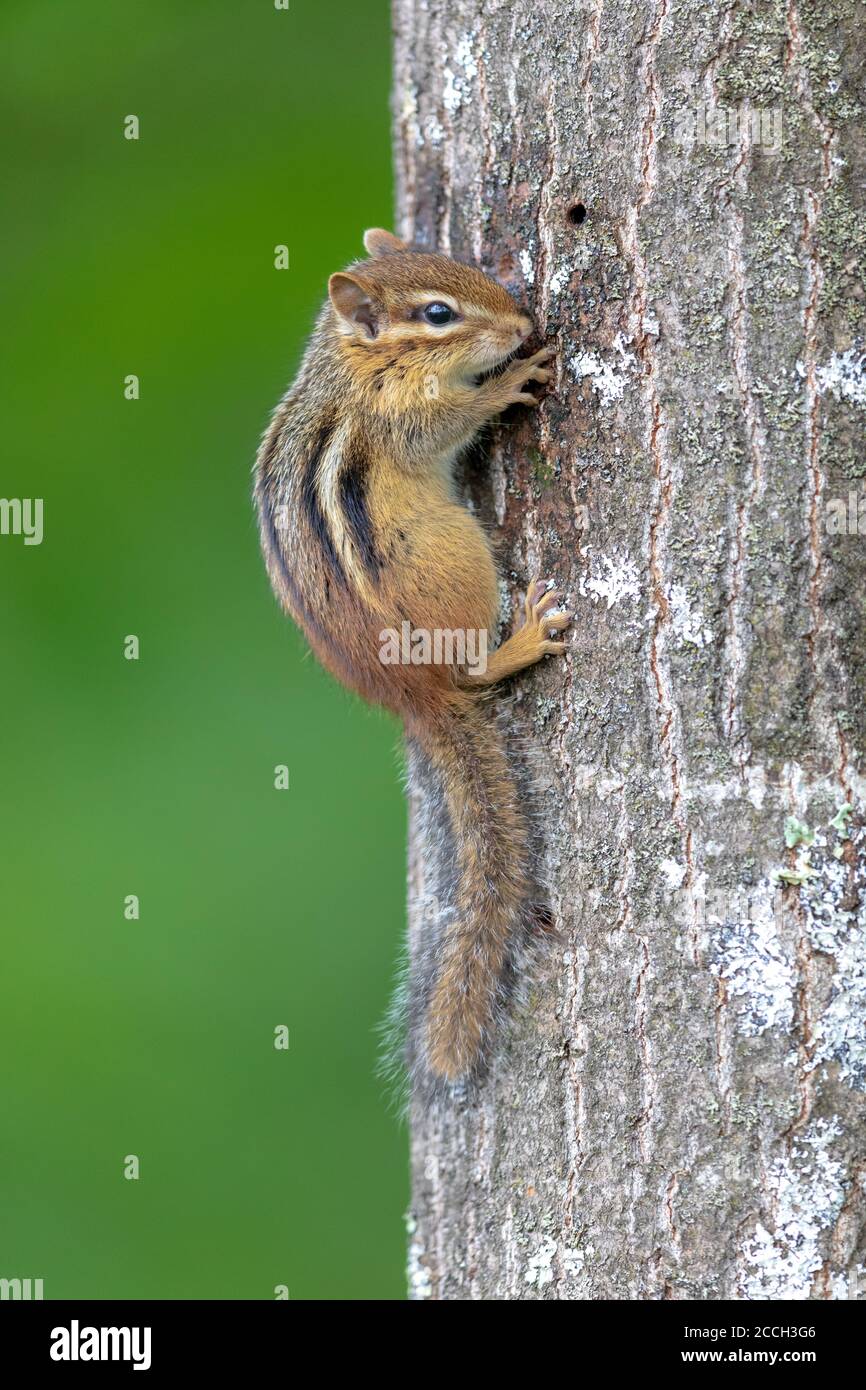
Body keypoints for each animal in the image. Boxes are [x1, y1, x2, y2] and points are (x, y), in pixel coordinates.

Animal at [254, 228, 572, 1097]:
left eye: (467, 267)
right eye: (437, 313)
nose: (523, 321)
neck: (357, 360)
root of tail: (410, 694)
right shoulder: (404, 415)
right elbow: (453, 417)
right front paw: (511, 381)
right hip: (458, 559)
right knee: (473, 672)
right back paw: (520, 641)